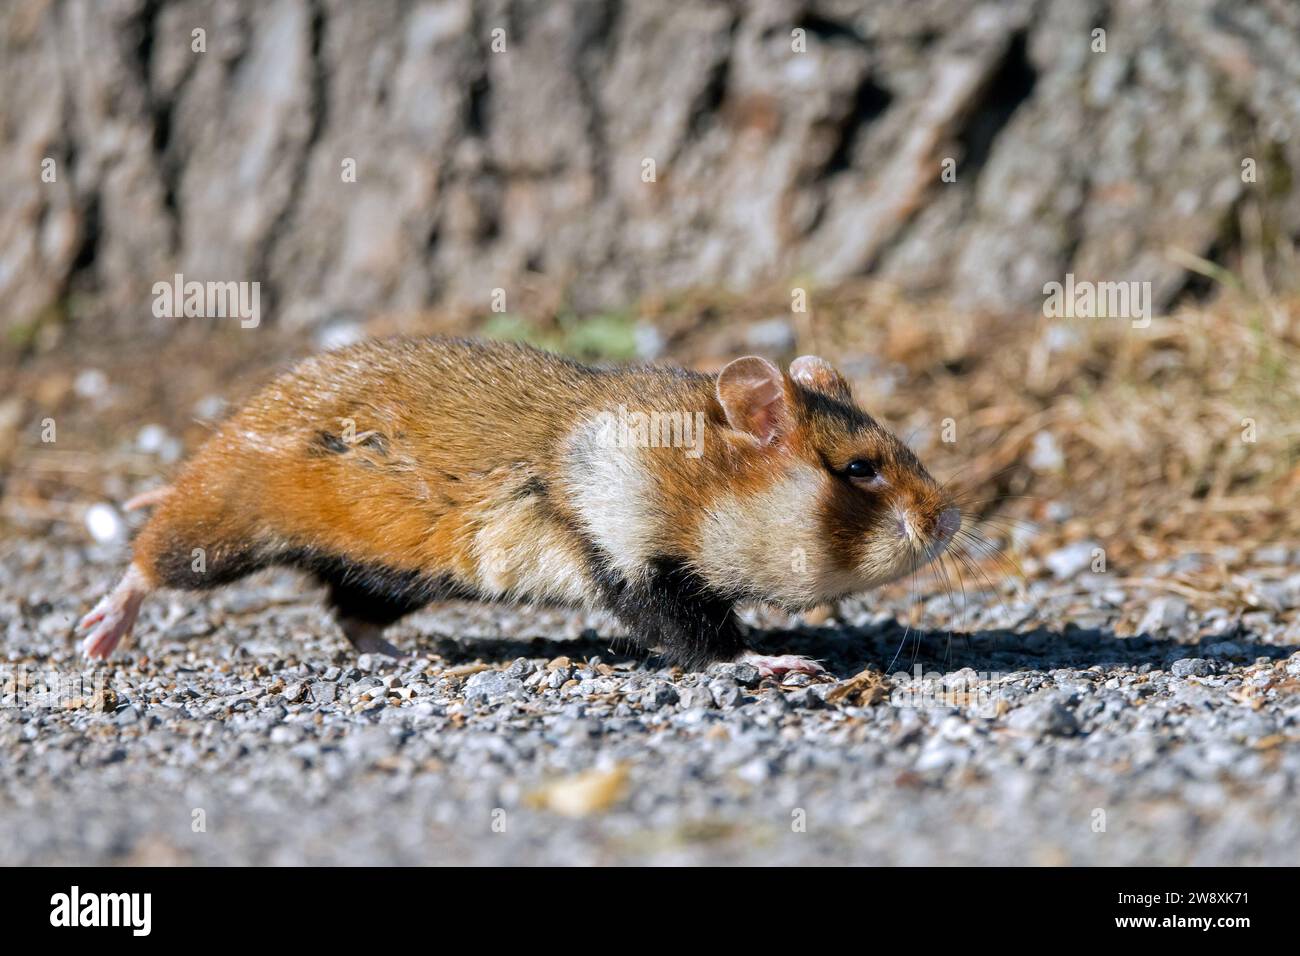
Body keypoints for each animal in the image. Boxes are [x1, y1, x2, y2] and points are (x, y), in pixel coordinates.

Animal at [79, 337, 960, 677]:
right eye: (859, 470)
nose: (951, 520)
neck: (693, 476)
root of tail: (228, 432)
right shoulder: (635, 563)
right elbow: (706, 641)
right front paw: (783, 663)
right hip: (227, 528)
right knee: (147, 560)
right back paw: (98, 632)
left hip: (391, 575)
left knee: (350, 612)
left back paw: (405, 656)